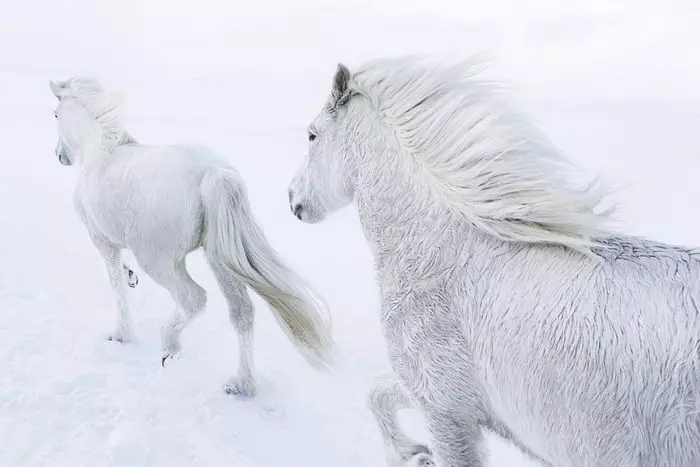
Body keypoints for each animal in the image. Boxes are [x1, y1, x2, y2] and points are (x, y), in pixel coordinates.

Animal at [50, 77, 334, 398]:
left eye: (56, 114)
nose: (59, 156)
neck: (100, 152)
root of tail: (214, 174)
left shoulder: (101, 239)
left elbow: (115, 283)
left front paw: (121, 334)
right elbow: (122, 277)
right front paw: (130, 276)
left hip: (161, 262)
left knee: (193, 298)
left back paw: (169, 345)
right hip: (220, 258)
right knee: (242, 312)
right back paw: (242, 384)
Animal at [288, 56, 700, 466]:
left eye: (311, 135)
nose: (293, 199)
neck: (438, 257)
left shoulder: (446, 410)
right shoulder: (447, 399)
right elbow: (378, 393)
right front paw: (411, 453)